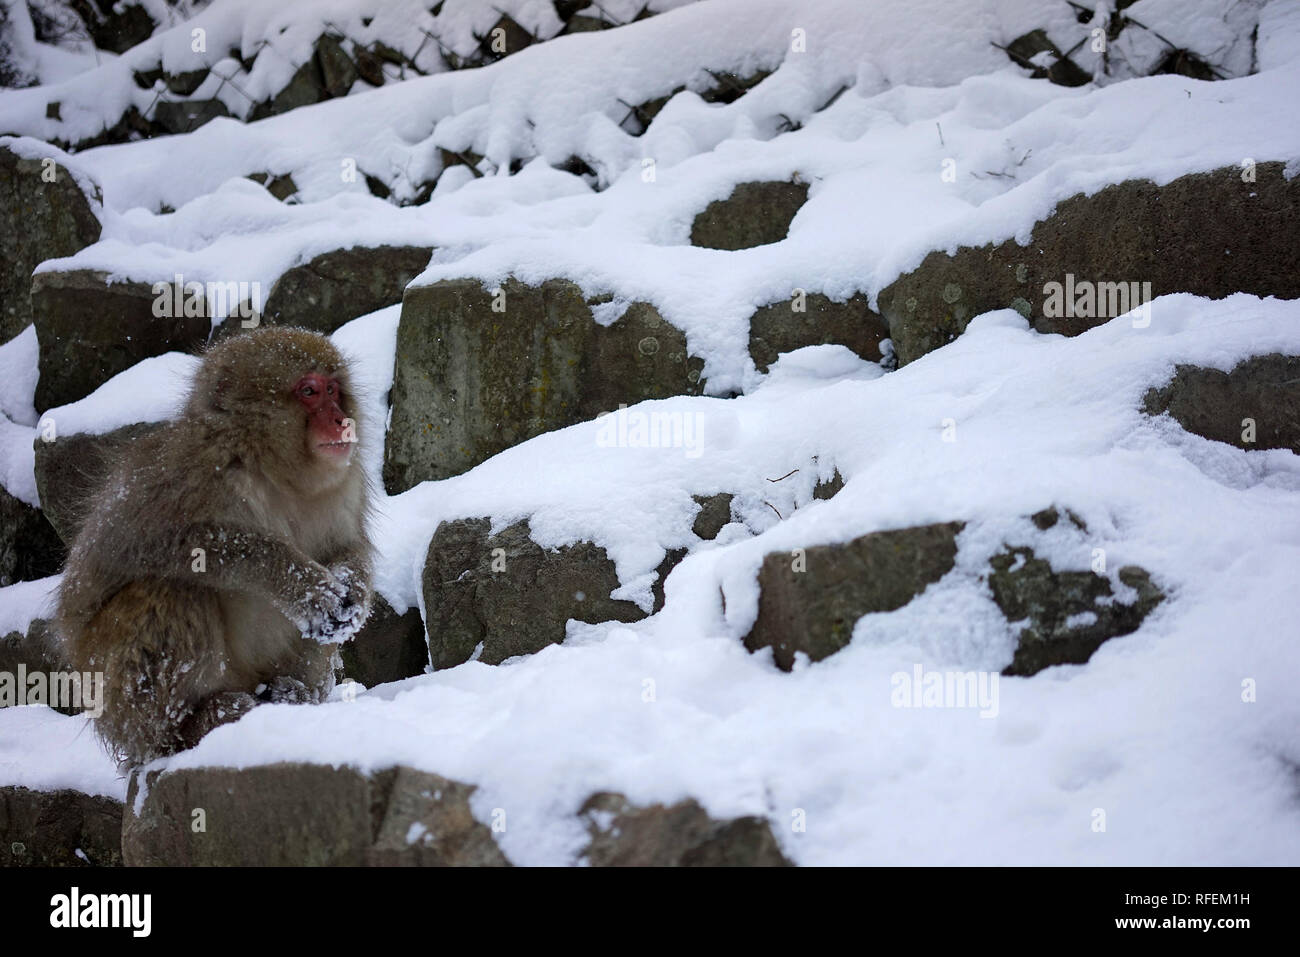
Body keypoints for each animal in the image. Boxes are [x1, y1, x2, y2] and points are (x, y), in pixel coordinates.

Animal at [53, 327, 373, 767]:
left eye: (333, 389)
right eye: (309, 391)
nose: (342, 419)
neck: (274, 470)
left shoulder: (347, 483)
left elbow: (348, 547)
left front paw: (350, 591)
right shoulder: (183, 472)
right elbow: (145, 546)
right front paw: (304, 587)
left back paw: (293, 694)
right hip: (111, 694)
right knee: (166, 591)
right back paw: (192, 725)